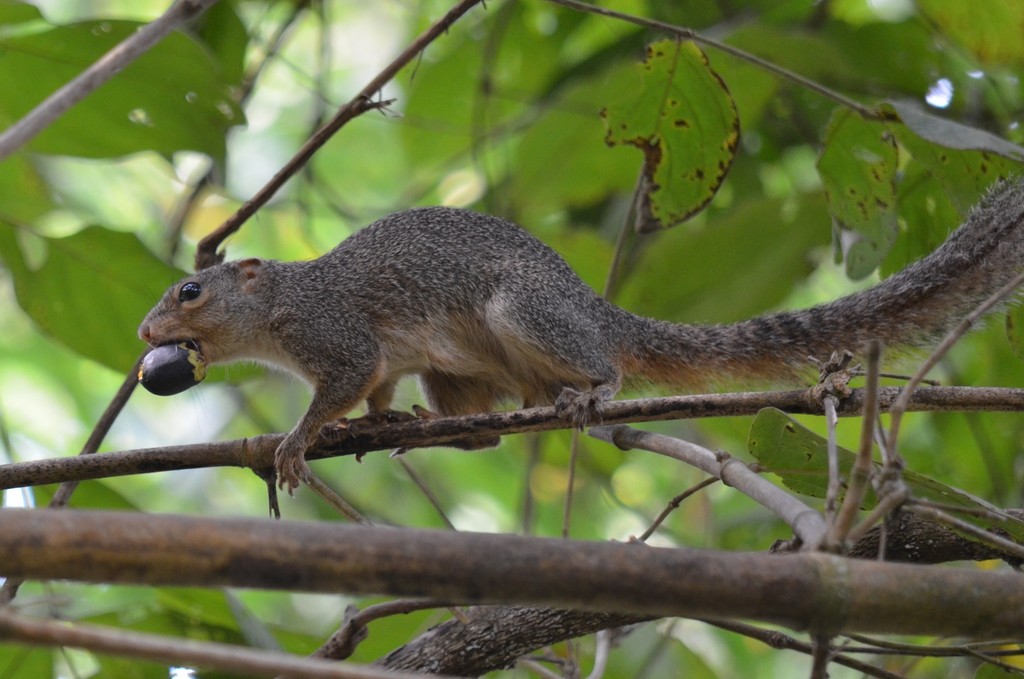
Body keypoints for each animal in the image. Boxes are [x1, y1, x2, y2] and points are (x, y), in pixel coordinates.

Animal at [140, 178, 1024, 493]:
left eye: (191, 289)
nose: (147, 331)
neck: (280, 310)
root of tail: (598, 310)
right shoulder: (378, 356)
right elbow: (377, 383)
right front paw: (375, 418)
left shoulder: (338, 334)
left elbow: (344, 383)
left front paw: (298, 440)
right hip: (459, 371)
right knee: (486, 431)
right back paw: (429, 424)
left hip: (528, 313)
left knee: (594, 367)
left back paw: (595, 387)